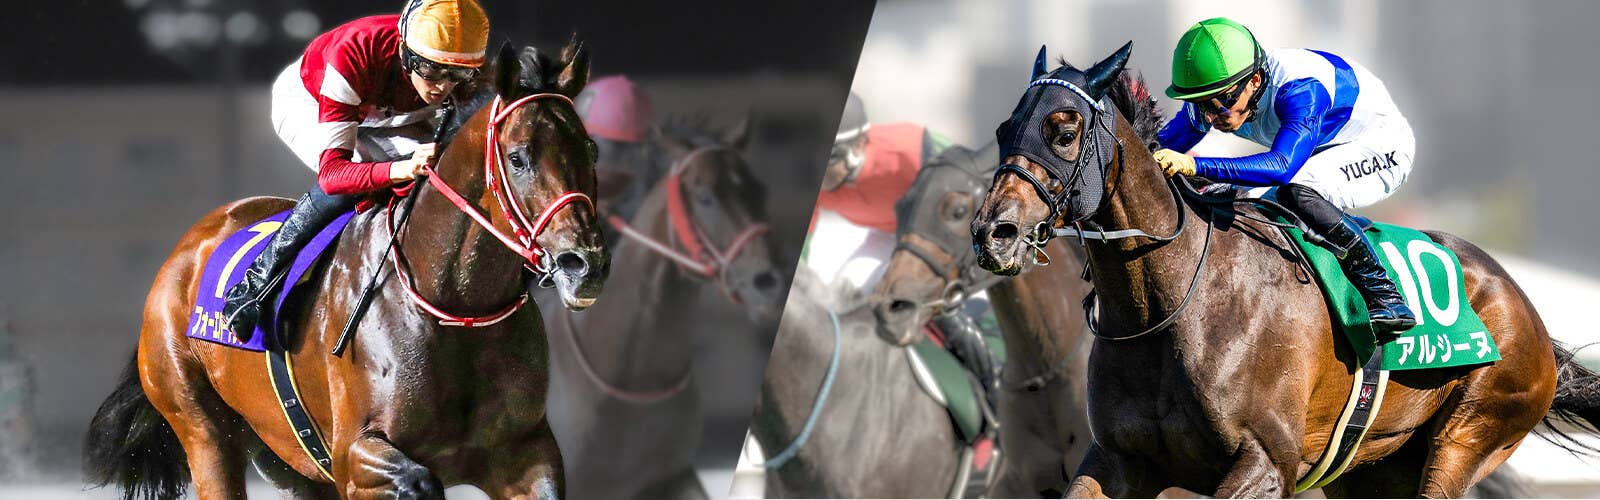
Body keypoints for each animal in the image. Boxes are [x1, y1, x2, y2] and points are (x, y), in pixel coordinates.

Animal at [84, 41, 605, 500]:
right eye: (517, 158)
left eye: (591, 150)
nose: (585, 265)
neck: (455, 307)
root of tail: (187, 249)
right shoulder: (354, 456)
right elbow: (418, 480)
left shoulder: (525, 453)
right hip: (202, 425)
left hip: (286, 460)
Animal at [969, 42, 1600, 498]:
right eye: (1003, 130)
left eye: (1064, 131)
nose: (994, 232)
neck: (1171, 306)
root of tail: (1523, 305)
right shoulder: (1118, 459)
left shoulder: (1265, 462)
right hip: (1371, 470)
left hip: (1469, 434)